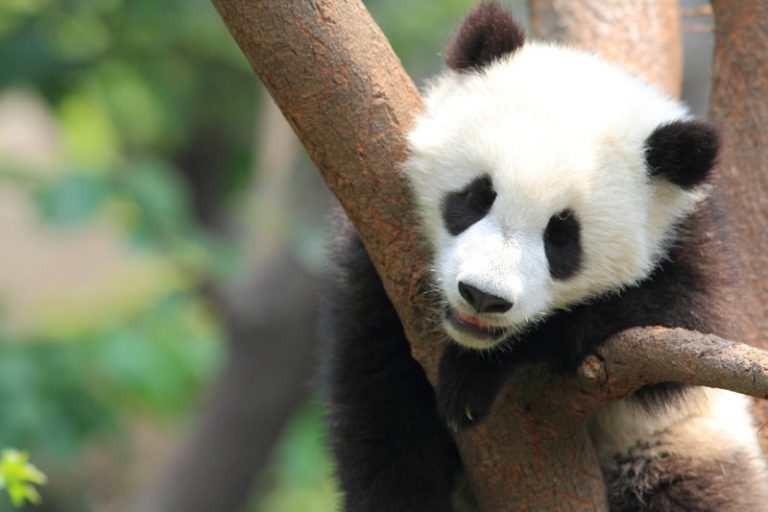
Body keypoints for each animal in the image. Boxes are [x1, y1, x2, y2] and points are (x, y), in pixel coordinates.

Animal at [324, 3, 768, 511]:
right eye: (477, 197)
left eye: (561, 237)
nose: (483, 297)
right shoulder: (376, 260)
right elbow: (381, 399)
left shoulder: (691, 244)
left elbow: (677, 321)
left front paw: (476, 375)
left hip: (678, 449)